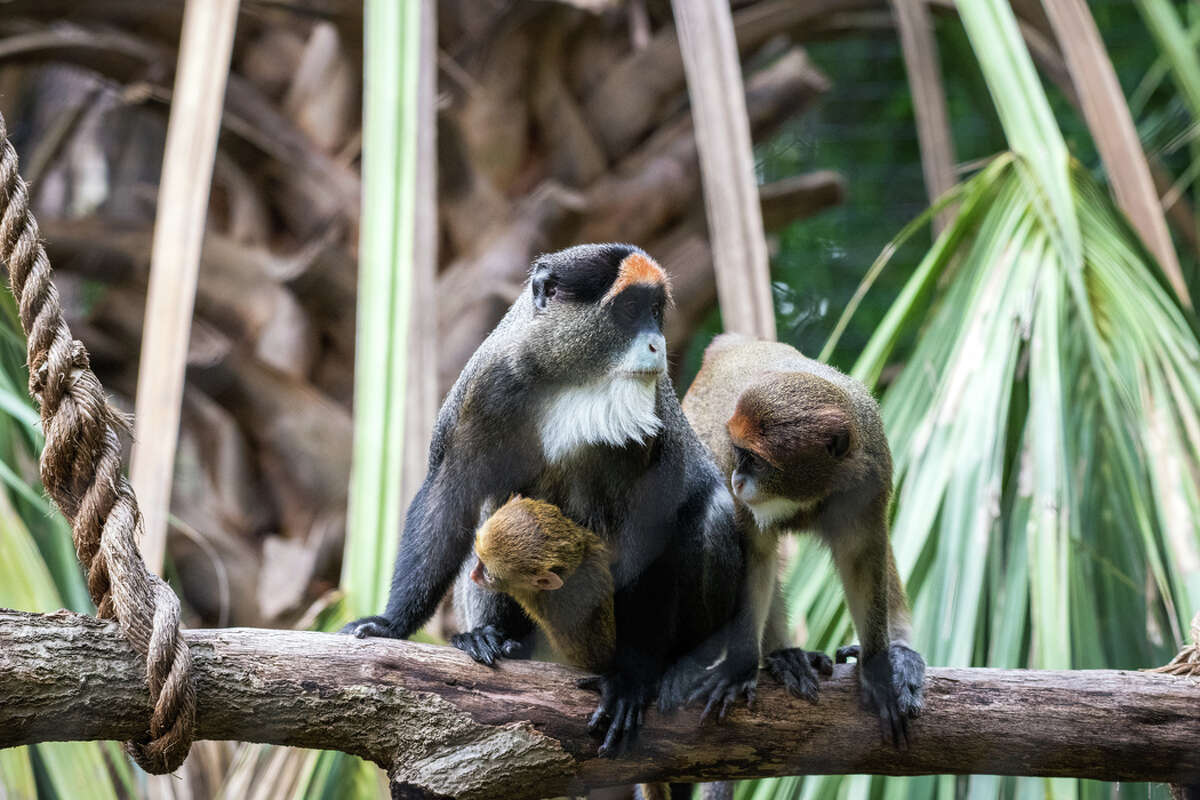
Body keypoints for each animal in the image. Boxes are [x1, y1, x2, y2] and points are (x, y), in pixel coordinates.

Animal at [342, 244, 756, 756]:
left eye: (656, 311)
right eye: (630, 310)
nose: (657, 345)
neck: (573, 379)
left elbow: (651, 529)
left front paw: (630, 678)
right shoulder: (487, 387)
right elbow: (450, 493)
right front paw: (391, 624)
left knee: (711, 515)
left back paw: (683, 663)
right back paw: (494, 637)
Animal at [681, 333, 925, 747]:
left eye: (756, 461)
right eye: (739, 454)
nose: (739, 481)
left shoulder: (872, 470)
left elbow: (863, 557)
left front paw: (878, 668)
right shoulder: (728, 471)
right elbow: (755, 558)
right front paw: (740, 668)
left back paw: (902, 653)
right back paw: (784, 656)